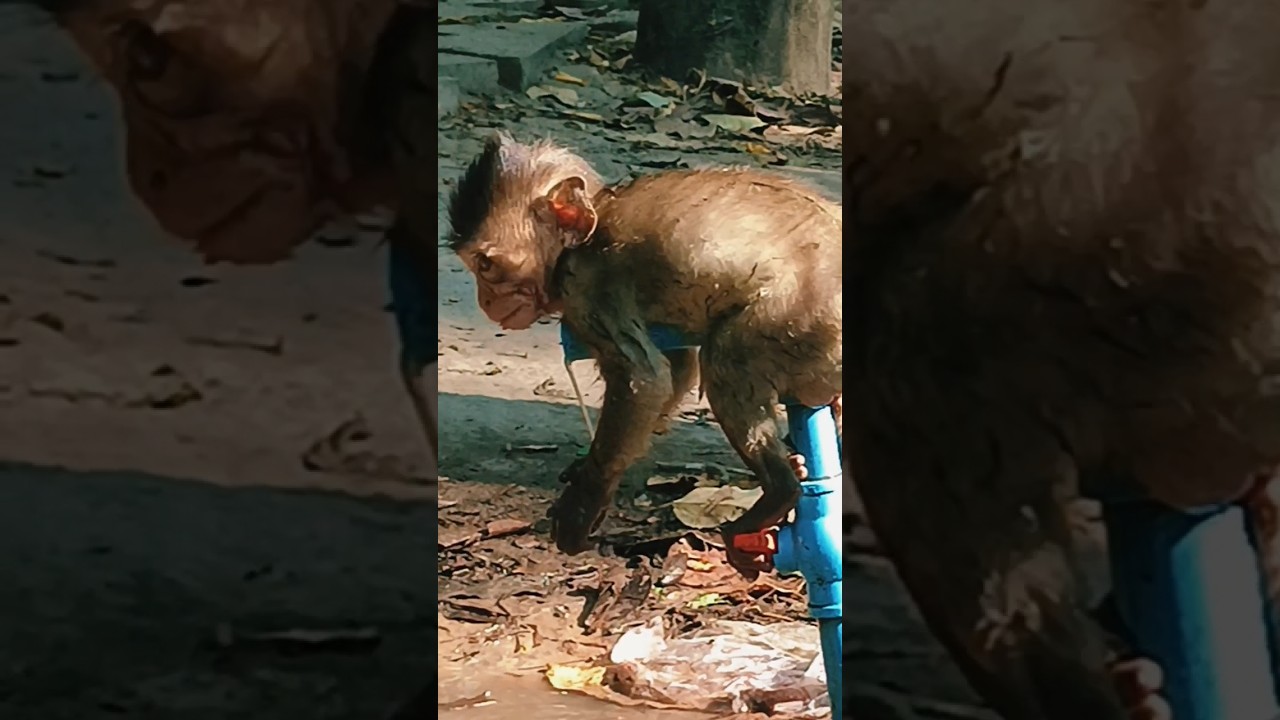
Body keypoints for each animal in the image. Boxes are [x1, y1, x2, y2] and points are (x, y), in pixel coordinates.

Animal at [446, 133, 842, 574]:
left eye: (485, 265)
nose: (484, 300)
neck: (591, 227)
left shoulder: (587, 284)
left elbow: (645, 378)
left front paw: (583, 502)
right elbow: (677, 367)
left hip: (800, 323)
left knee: (725, 360)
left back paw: (779, 489)